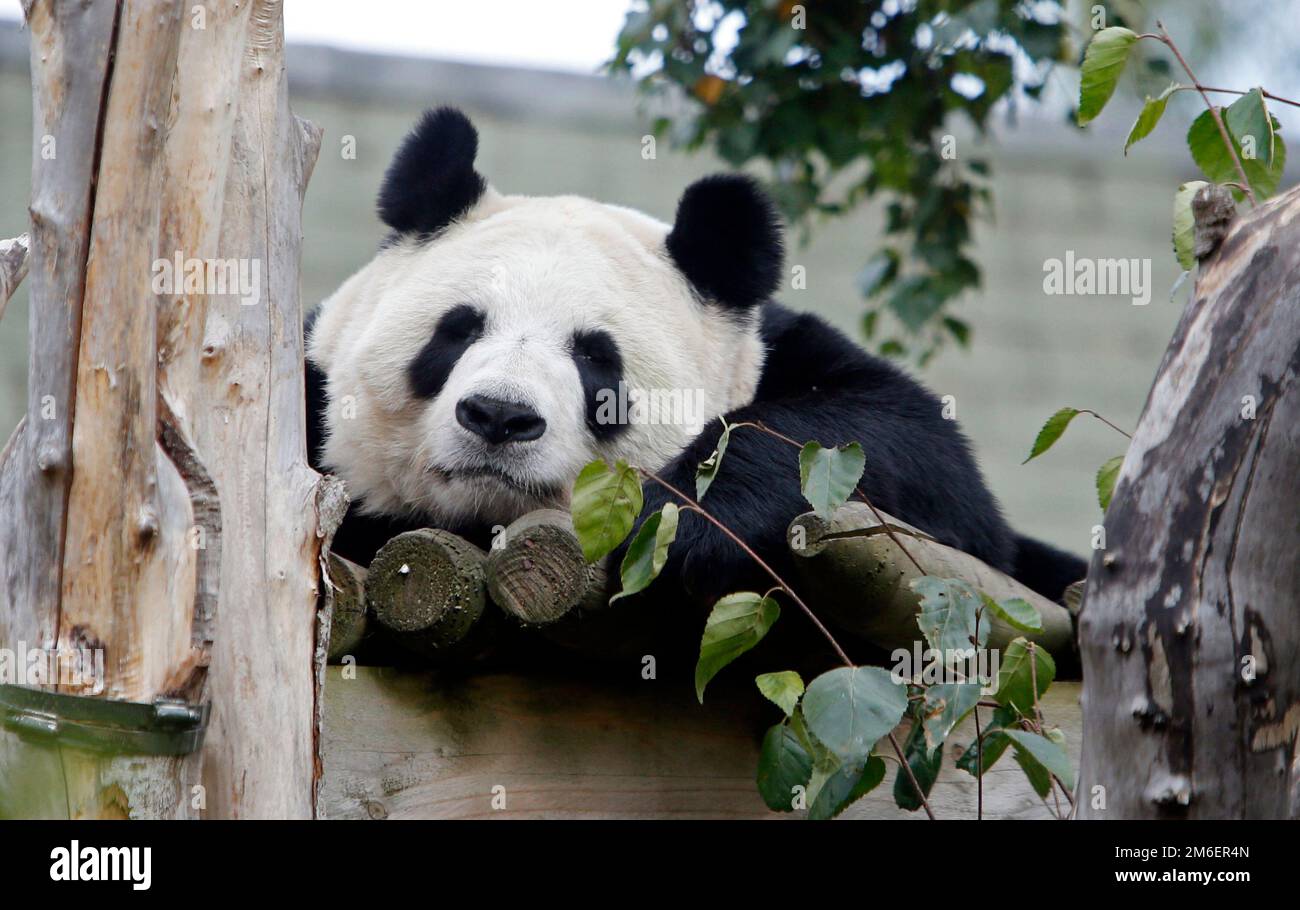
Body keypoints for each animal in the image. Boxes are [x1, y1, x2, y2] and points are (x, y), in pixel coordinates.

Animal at [305, 107, 1086, 636]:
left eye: (595, 358)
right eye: (459, 329)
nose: (499, 416)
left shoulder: (783, 355)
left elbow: (920, 458)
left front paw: (683, 523)